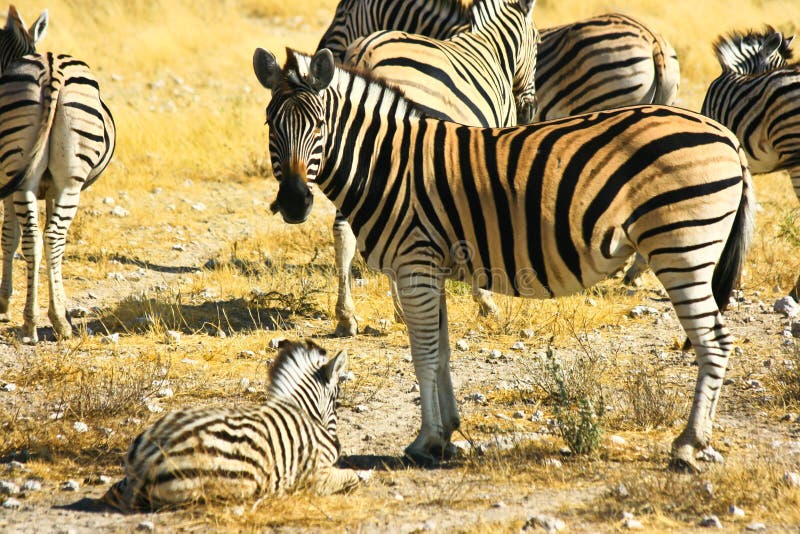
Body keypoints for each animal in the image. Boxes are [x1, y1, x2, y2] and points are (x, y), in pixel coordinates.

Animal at [0, 52, 116, 343]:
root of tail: (52, 65)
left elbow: (9, 236)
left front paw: (4, 303)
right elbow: (11, 236)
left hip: (26, 177)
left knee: (36, 238)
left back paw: (34, 322)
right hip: (66, 181)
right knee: (51, 237)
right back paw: (57, 322)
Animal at [101, 339, 359, 512]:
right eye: (337, 401)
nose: (337, 445)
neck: (301, 410)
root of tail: (148, 461)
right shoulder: (317, 476)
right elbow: (353, 477)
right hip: (232, 481)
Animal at [254, 47, 754, 472]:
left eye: (319, 124)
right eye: (269, 125)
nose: (295, 202)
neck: (387, 165)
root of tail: (725, 134)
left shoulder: (415, 265)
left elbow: (422, 354)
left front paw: (425, 441)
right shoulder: (432, 268)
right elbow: (441, 353)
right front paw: (447, 433)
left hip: (681, 248)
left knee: (715, 342)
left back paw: (689, 444)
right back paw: (697, 441)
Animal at [326, 0, 537, 336]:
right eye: (538, 43)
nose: (529, 111)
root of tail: (366, 55)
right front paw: (486, 301)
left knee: (346, 232)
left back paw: (353, 316)